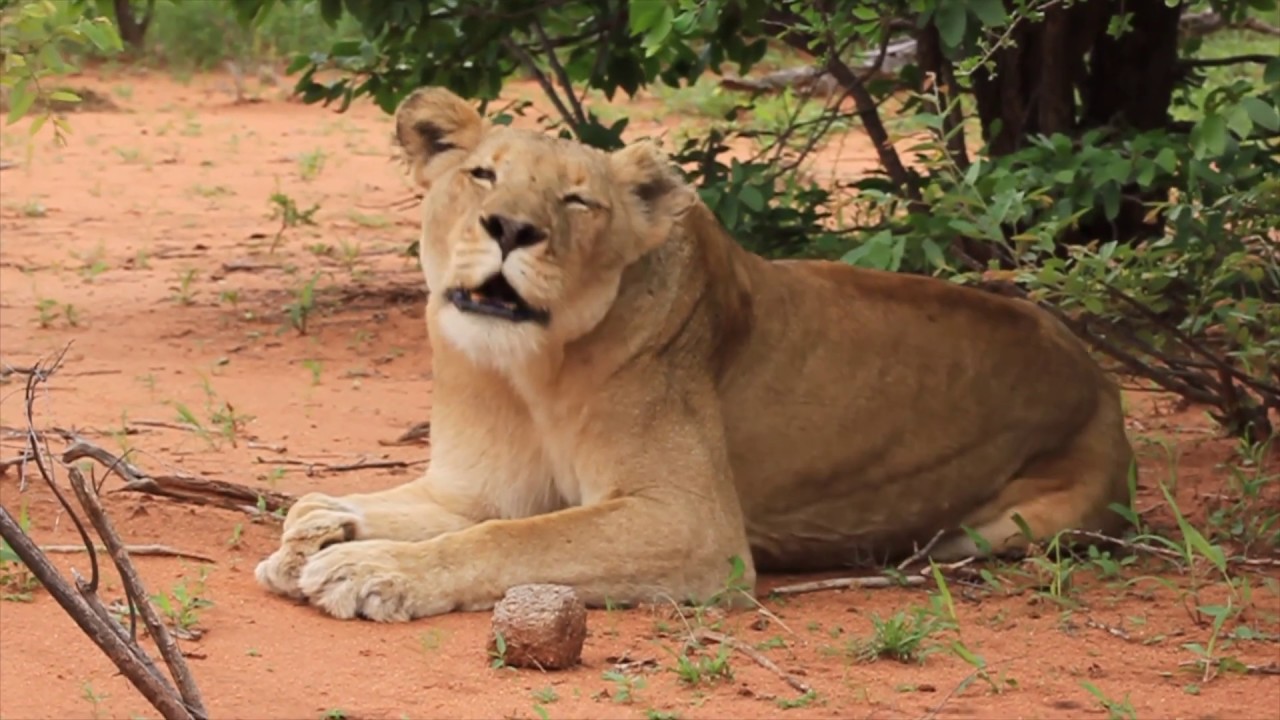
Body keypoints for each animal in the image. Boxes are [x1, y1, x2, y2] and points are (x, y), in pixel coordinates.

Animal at [254, 86, 1136, 623]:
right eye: (481, 175)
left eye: (577, 200)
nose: (509, 228)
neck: (527, 370)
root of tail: (1094, 369)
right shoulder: (476, 489)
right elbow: (357, 507)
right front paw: (319, 536)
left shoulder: (691, 524)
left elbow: (512, 540)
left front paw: (375, 571)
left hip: (1024, 522)